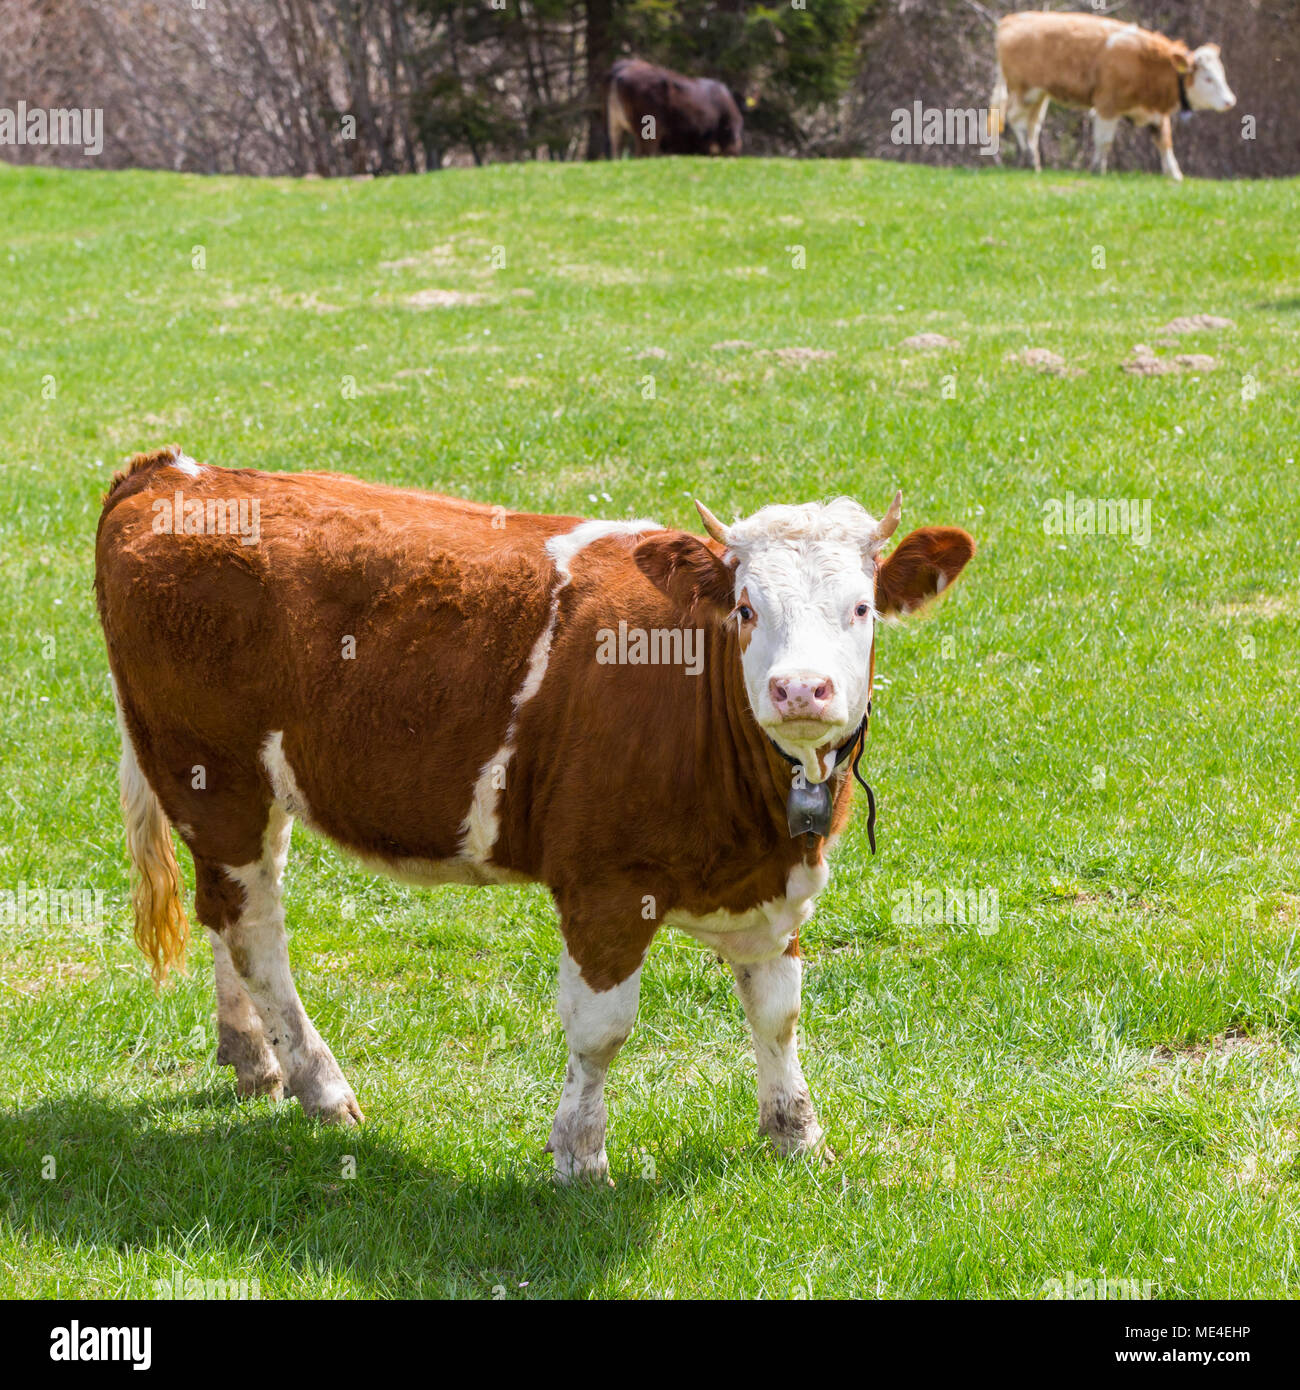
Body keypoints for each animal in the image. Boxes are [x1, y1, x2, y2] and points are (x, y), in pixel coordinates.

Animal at [95, 446, 973, 1180]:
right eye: (747, 609)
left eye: (861, 609)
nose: (800, 690)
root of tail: (176, 472)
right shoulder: (603, 885)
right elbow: (601, 1029)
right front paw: (581, 1158)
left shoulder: (774, 886)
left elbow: (779, 1011)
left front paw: (796, 1134)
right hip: (210, 774)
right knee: (253, 928)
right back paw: (321, 1084)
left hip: (253, 786)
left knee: (231, 907)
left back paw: (253, 1058)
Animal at [992, 11, 1235, 181]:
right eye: (1208, 78)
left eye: (1222, 73)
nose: (1230, 101)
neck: (1147, 63)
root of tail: (1011, 20)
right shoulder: (1107, 106)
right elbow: (1104, 140)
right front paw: (1097, 169)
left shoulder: (1156, 113)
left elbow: (1165, 142)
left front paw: (1175, 174)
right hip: (1025, 91)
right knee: (1016, 119)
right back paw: (1029, 158)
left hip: (1041, 95)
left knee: (1033, 125)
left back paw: (1033, 160)